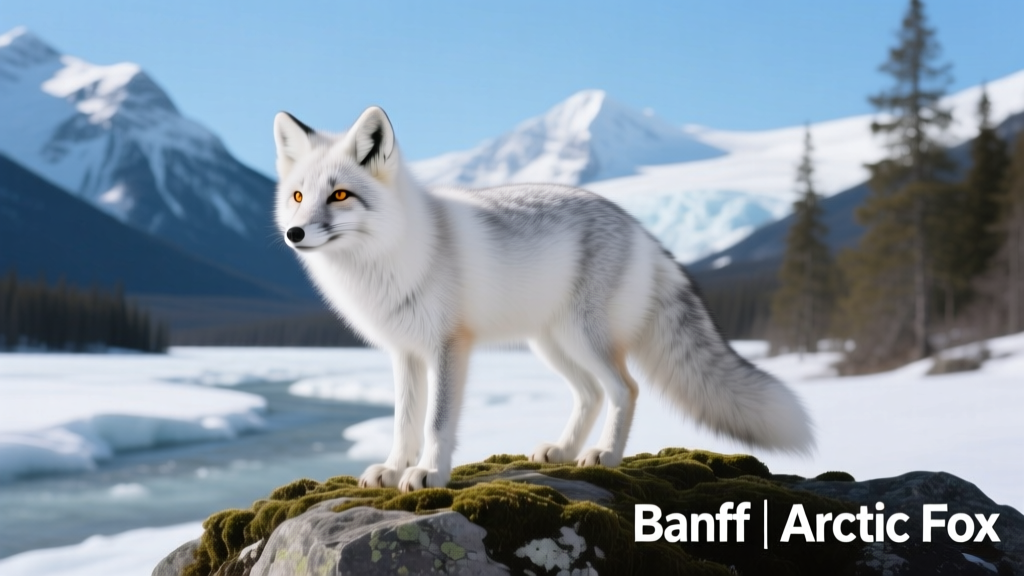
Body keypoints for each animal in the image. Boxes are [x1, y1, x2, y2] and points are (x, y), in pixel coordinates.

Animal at [272, 106, 814, 492]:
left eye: (340, 195)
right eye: (298, 197)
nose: (294, 234)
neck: (390, 256)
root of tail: (639, 227)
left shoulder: (449, 346)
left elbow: (435, 423)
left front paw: (429, 474)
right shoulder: (405, 351)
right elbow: (404, 422)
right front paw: (391, 469)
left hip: (584, 339)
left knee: (625, 389)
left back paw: (604, 456)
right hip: (552, 345)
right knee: (590, 395)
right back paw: (564, 452)